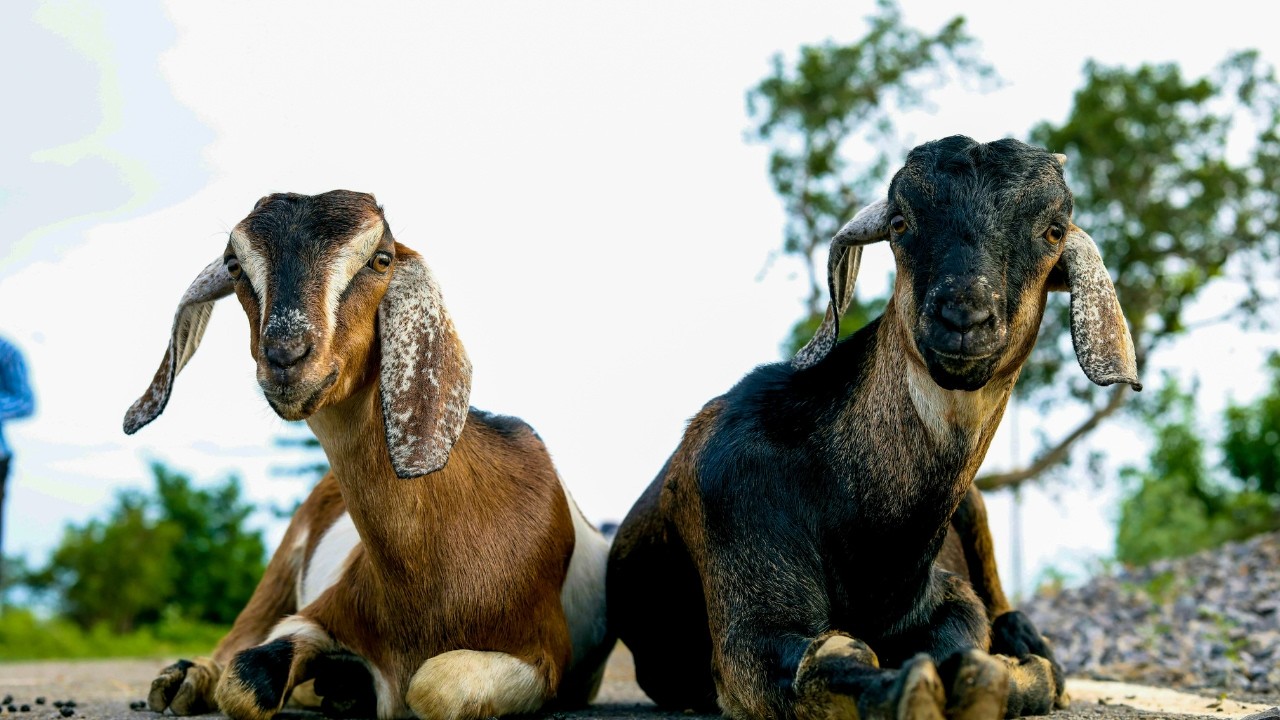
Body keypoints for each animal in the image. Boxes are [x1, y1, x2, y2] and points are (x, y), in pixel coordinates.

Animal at [123, 190, 612, 720]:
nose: (287, 357)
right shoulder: (319, 613)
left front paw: (346, 686)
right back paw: (186, 680)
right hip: (282, 564)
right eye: (234, 265)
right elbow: (246, 678)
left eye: (382, 259)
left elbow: (434, 685)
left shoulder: (546, 655)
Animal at [607, 137, 1141, 719]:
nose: (963, 316)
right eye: (902, 222)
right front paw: (910, 690)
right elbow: (823, 656)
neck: (877, 544)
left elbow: (967, 629)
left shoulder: (944, 595)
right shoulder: (743, 559)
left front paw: (996, 676)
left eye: (1053, 230)